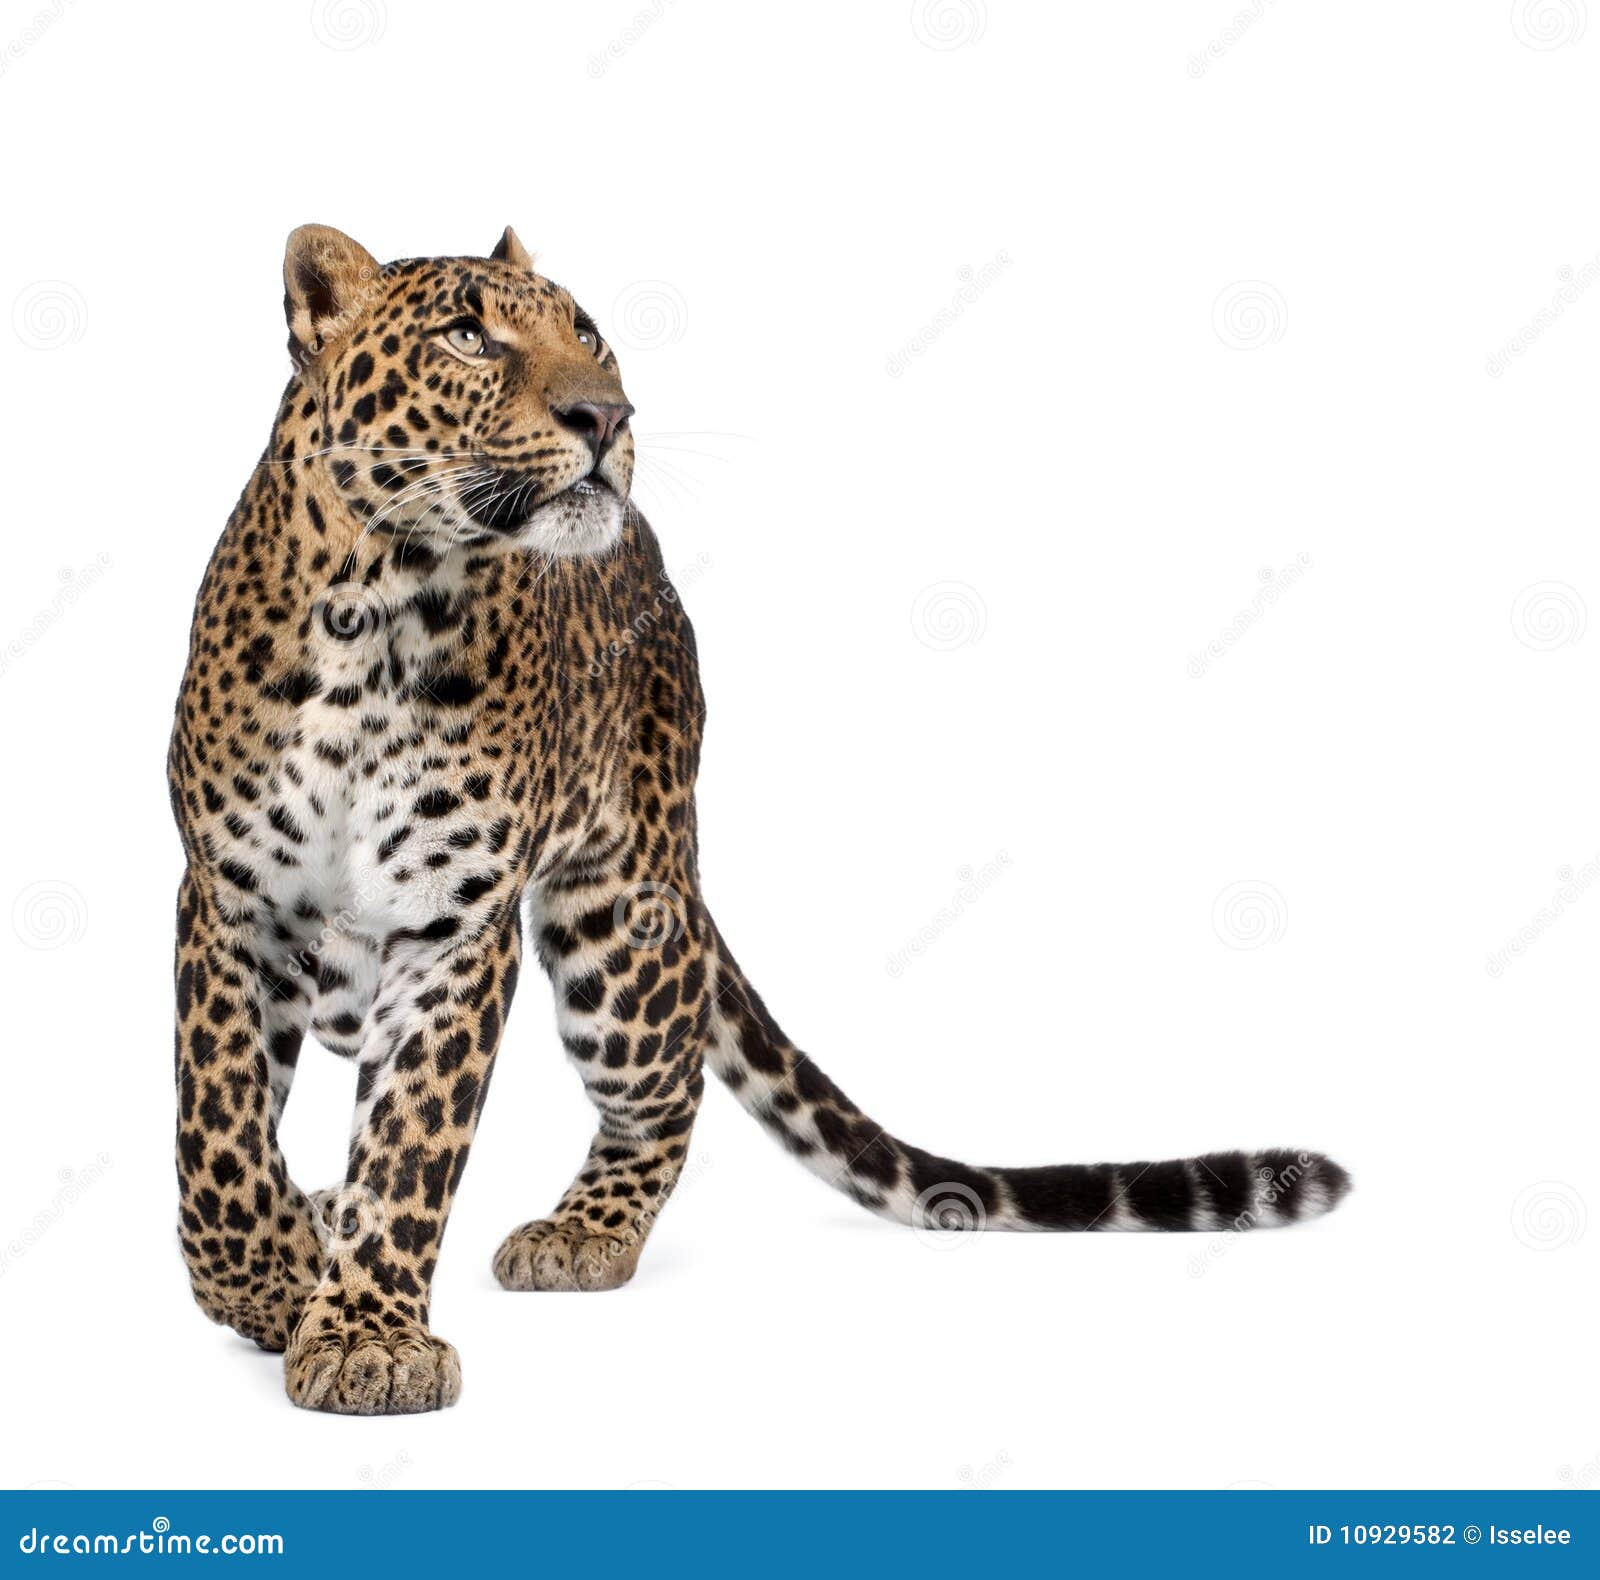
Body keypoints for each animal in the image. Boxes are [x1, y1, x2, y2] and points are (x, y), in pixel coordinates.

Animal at [167, 225, 1351, 1415]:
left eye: (589, 333)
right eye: (468, 336)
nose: (607, 416)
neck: (379, 612)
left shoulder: (455, 926)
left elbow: (409, 1145)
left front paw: (366, 1335)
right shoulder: (229, 903)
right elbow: (216, 1135)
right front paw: (274, 1279)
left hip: (620, 928)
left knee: (670, 1081)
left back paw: (582, 1230)